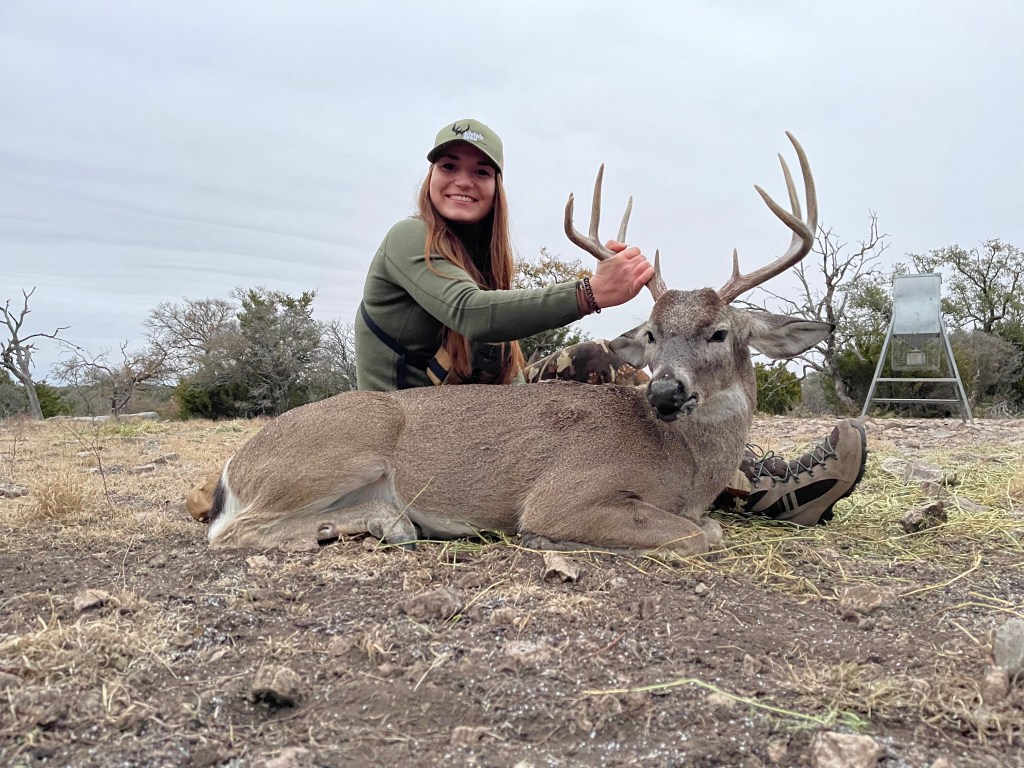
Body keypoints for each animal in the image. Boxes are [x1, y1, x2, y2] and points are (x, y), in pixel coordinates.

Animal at [190, 133, 833, 555]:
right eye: (651, 334)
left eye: (719, 332)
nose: (667, 393)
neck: (685, 470)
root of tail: (233, 466)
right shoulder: (563, 493)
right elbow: (700, 535)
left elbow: (708, 528)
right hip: (340, 450)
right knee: (230, 533)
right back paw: (377, 524)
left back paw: (382, 523)